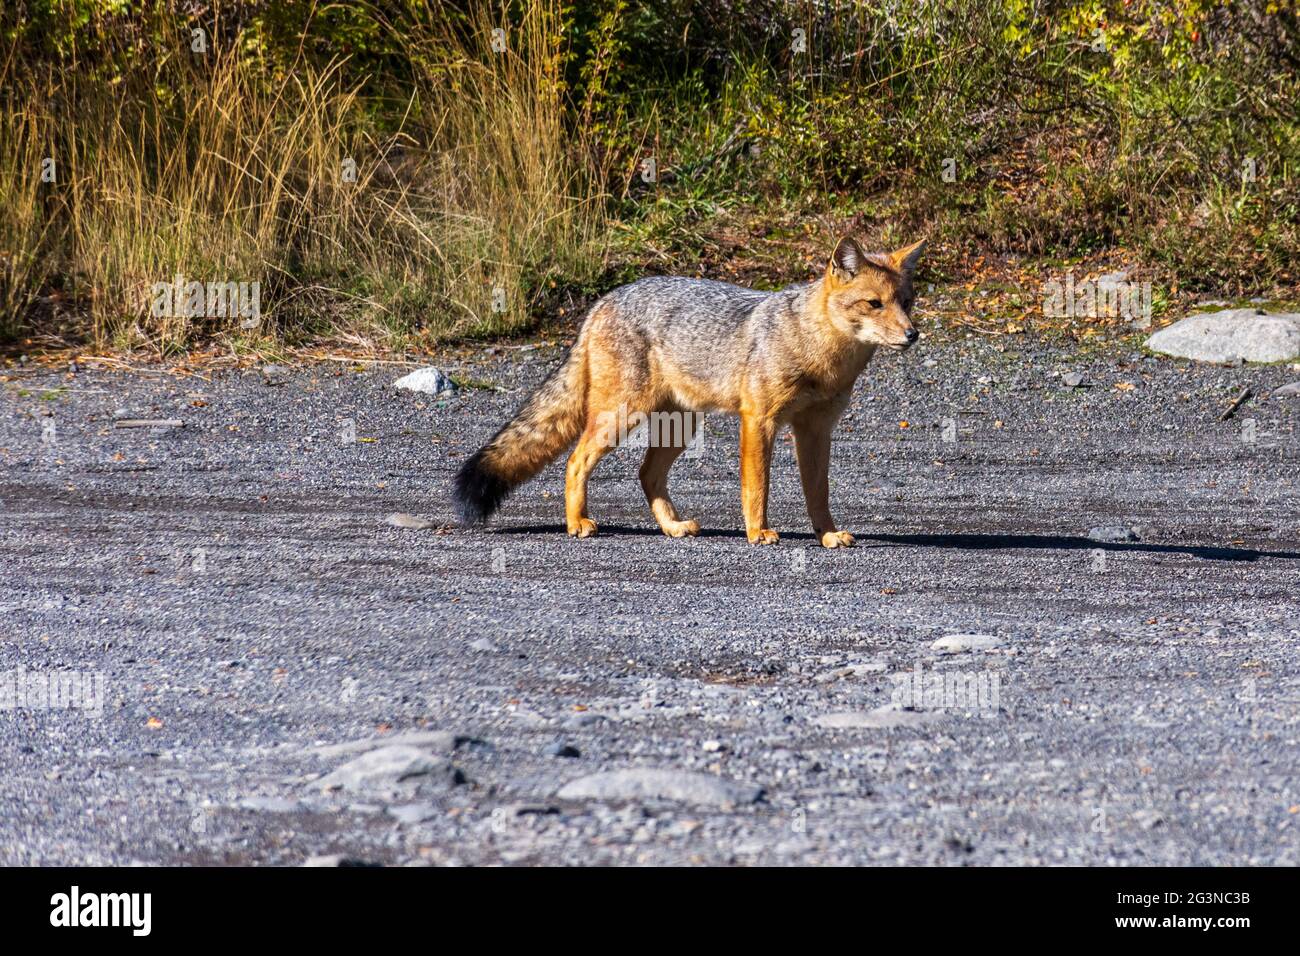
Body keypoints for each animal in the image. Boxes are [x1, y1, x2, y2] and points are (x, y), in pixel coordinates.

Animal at [453, 235, 925, 547]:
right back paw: (578, 522)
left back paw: (672, 527)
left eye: (906, 303)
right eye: (874, 304)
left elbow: (818, 491)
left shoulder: (816, 429)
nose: (913, 334)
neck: (819, 354)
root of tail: (604, 300)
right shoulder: (760, 420)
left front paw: (826, 534)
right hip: (622, 417)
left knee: (646, 474)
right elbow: (758, 485)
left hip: (679, 426)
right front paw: (758, 531)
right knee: (575, 461)